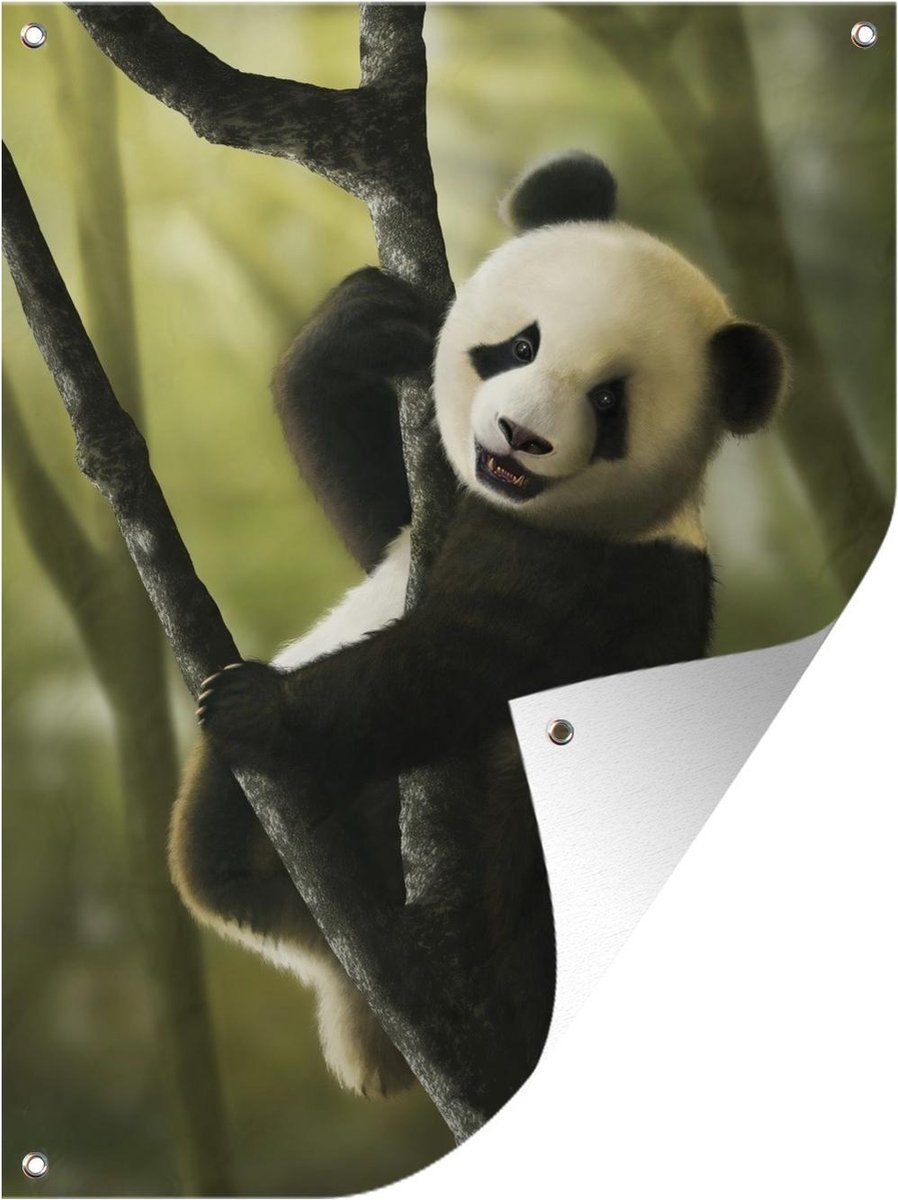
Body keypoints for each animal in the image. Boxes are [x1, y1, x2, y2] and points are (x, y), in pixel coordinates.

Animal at [169, 152, 787, 1101]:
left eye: (610, 402)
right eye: (523, 344)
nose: (520, 436)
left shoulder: (593, 576)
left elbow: (452, 671)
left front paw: (257, 707)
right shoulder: (447, 497)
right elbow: (379, 513)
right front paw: (362, 324)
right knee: (214, 843)